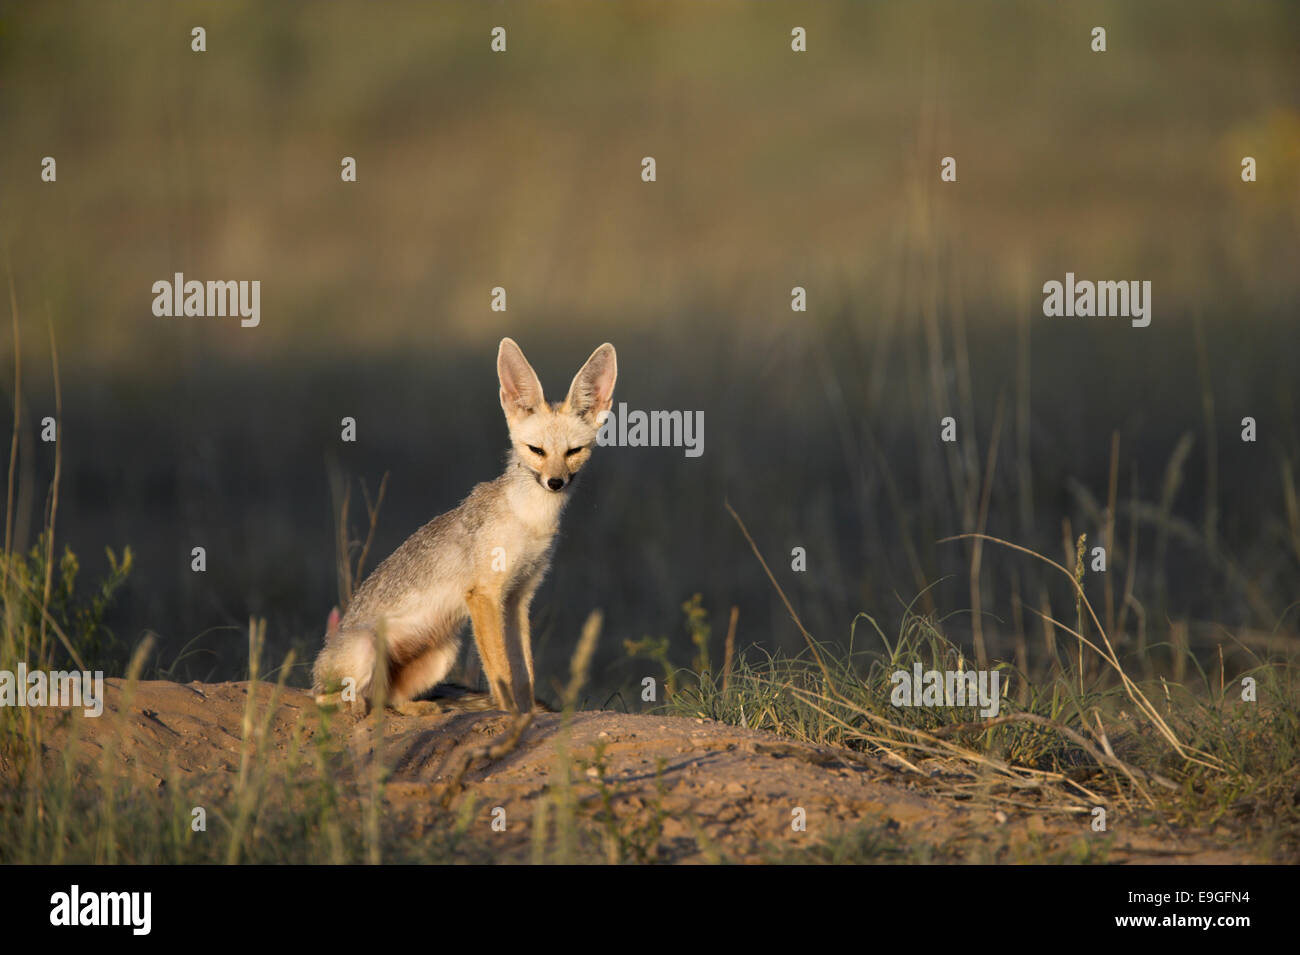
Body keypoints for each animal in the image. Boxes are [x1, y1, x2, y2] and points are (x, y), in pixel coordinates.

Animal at [311, 337, 617, 716]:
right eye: (536, 450)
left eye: (574, 451)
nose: (555, 483)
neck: (530, 518)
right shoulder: (484, 595)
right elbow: (501, 671)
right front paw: (509, 714)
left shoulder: (518, 598)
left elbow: (524, 674)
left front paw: (529, 715)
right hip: (368, 647)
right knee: (331, 697)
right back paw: (351, 707)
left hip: (445, 651)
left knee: (388, 700)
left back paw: (417, 709)